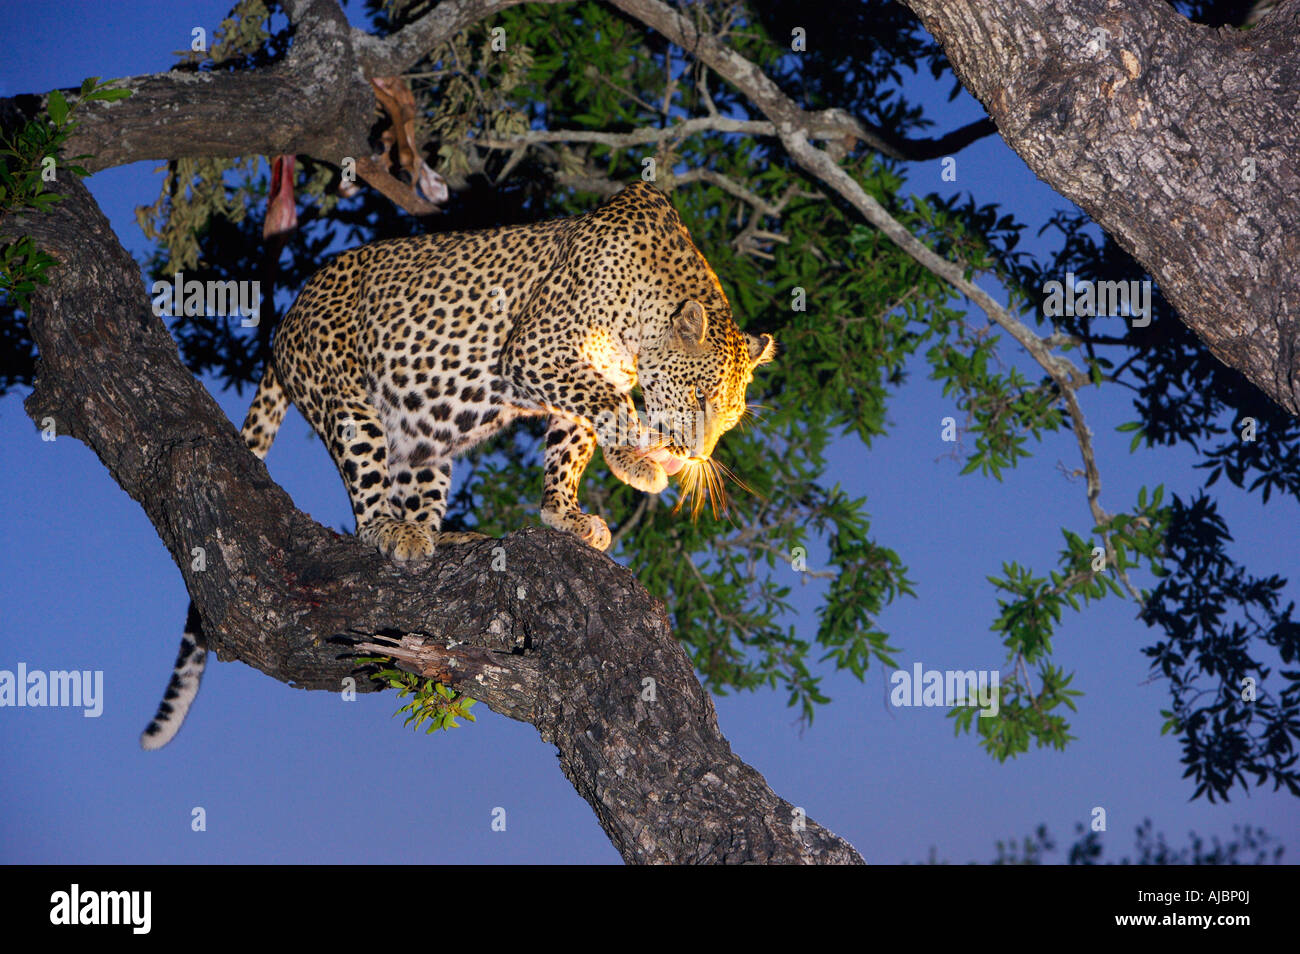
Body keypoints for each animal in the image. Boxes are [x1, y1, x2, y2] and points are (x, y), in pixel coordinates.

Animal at [140, 180, 775, 750]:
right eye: (700, 399)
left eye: (728, 421)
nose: (694, 455)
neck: (642, 316)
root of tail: (286, 321)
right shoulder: (538, 350)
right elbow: (610, 406)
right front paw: (637, 464)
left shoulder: (575, 378)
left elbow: (572, 444)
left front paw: (565, 514)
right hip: (349, 404)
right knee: (365, 486)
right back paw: (388, 530)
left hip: (424, 440)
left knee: (415, 482)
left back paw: (435, 536)